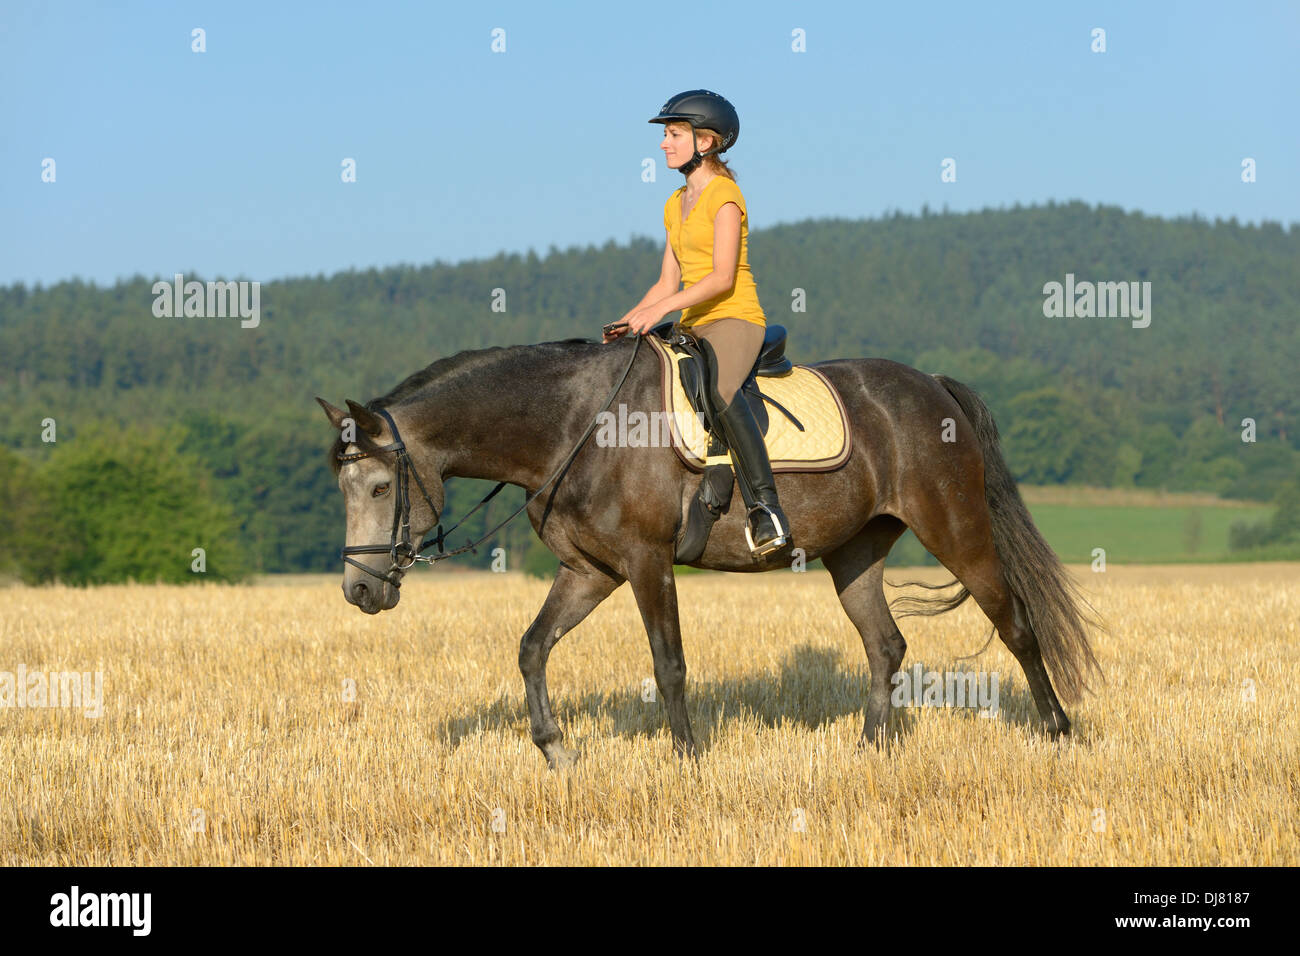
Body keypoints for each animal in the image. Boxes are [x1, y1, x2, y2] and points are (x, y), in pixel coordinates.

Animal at [317, 333, 1103, 768]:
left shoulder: (645, 563)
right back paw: (869, 752)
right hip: (855, 551)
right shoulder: (589, 571)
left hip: (955, 528)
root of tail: (931, 386)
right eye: (343, 488)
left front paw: (689, 758)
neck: (574, 424)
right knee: (885, 645)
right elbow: (533, 647)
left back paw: (1058, 733)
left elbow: (668, 664)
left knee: (1017, 623)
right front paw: (555, 749)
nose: (360, 591)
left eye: (381, 486)